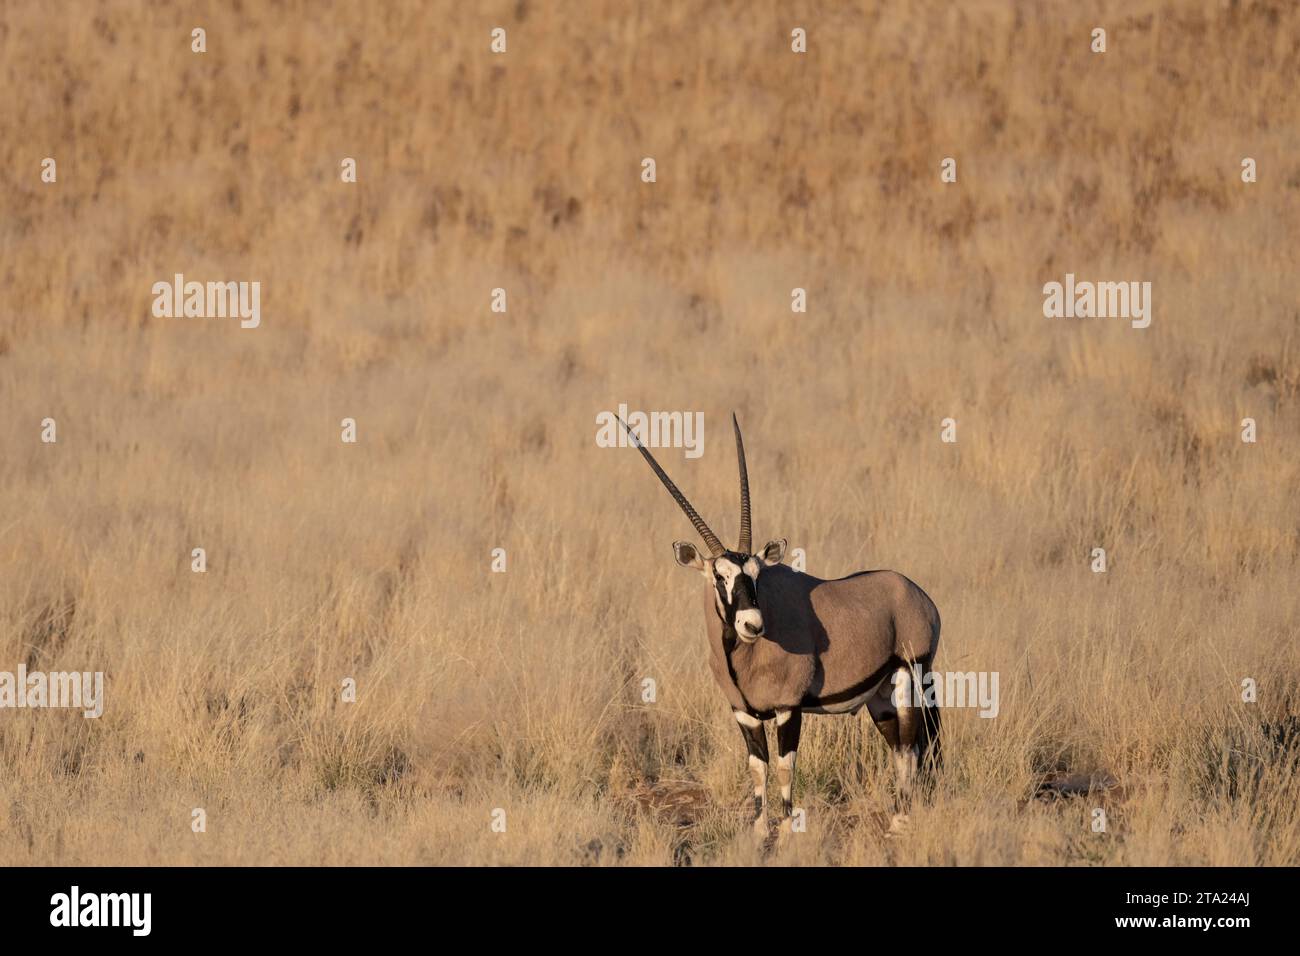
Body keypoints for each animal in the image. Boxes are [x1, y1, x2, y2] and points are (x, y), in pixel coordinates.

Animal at [620, 414, 941, 836]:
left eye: (757, 575)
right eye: (719, 577)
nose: (752, 625)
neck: (741, 657)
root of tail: (918, 595)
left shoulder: (789, 708)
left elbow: (786, 766)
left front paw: (788, 828)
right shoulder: (743, 712)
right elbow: (759, 768)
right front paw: (759, 828)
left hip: (910, 674)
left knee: (911, 743)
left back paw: (901, 820)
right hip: (881, 695)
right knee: (901, 745)